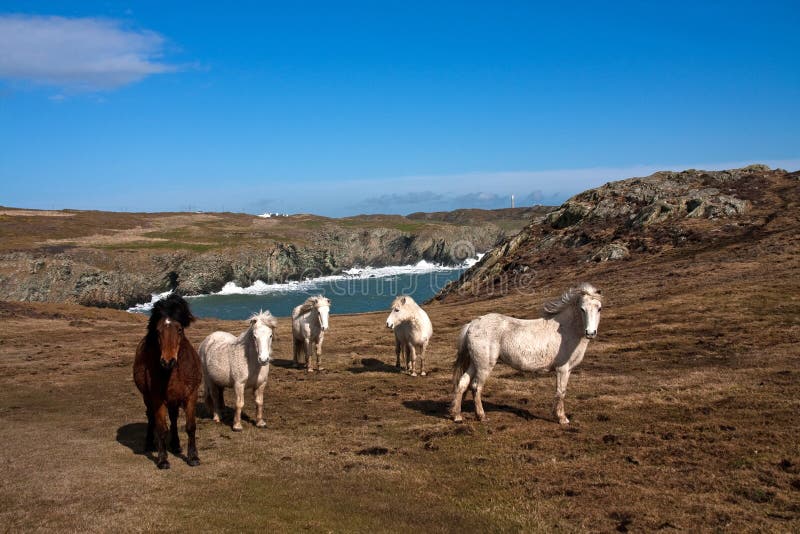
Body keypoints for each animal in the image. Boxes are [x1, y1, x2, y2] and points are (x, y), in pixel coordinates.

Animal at [133, 294, 202, 469]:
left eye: (180, 329)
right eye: (158, 331)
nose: (167, 362)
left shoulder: (191, 395)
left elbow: (190, 427)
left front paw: (193, 457)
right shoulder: (158, 399)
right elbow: (162, 429)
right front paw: (163, 460)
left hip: (174, 399)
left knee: (174, 418)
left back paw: (176, 445)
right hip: (148, 397)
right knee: (150, 416)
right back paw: (149, 444)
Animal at [450, 283, 603, 424]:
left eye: (599, 308)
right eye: (582, 309)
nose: (590, 333)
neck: (566, 330)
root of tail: (472, 324)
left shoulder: (568, 370)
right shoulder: (562, 369)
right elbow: (561, 392)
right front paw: (562, 418)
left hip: (475, 363)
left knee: (462, 383)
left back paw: (457, 416)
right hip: (484, 366)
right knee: (476, 387)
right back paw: (482, 416)